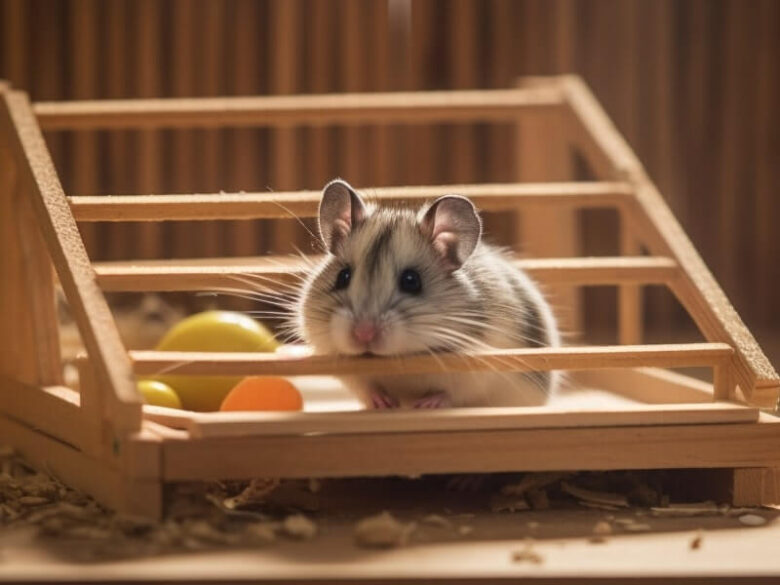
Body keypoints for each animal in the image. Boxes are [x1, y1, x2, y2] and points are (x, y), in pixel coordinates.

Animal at [295, 179, 561, 409]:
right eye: (343, 276)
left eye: (411, 281)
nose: (363, 334)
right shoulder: (349, 373)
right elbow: (368, 388)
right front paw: (385, 403)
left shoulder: (478, 371)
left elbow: (450, 392)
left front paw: (423, 403)